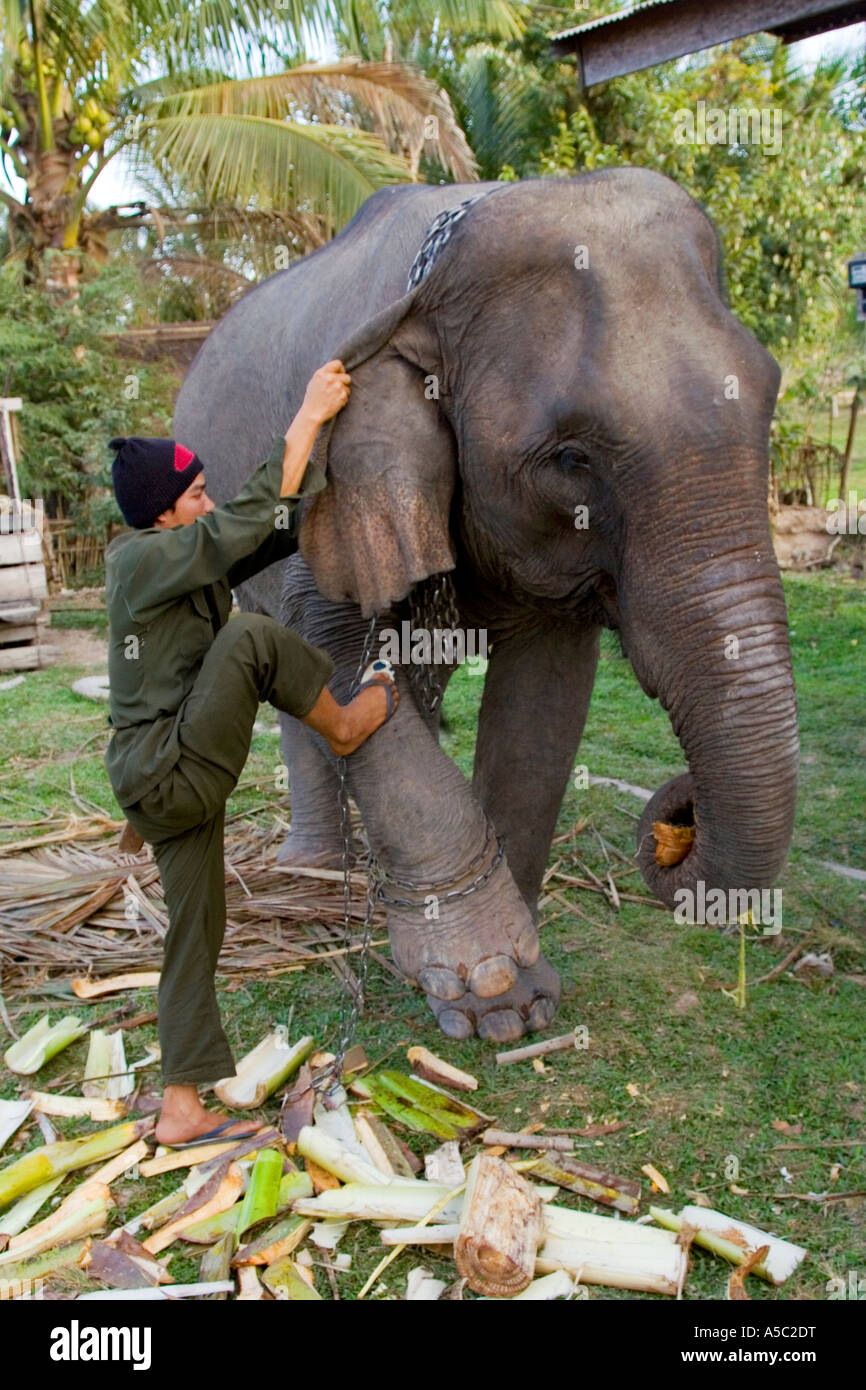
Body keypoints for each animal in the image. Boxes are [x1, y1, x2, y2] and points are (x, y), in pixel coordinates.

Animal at [173, 167, 799, 1043]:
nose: (677, 821)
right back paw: (316, 870)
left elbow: (543, 701)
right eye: (571, 458)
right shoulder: (323, 488)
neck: (430, 285)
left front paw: (522, 998)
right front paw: (480, 986)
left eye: (770, 397)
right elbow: (335, 655)